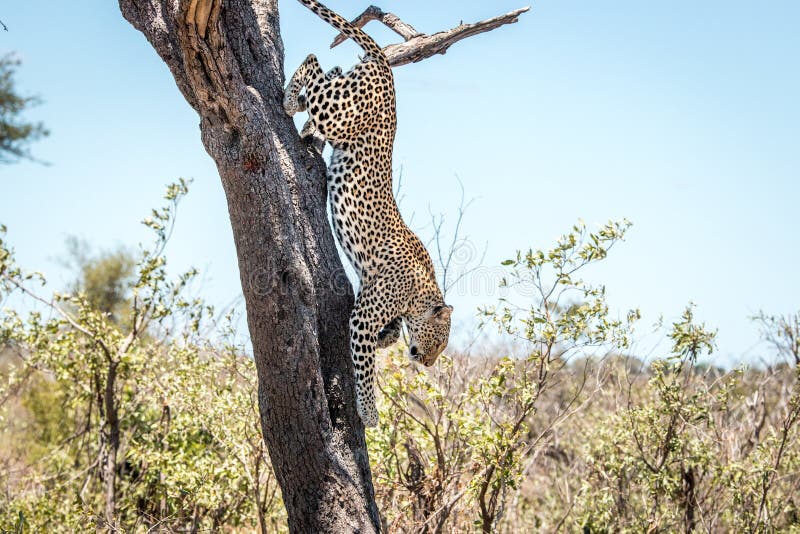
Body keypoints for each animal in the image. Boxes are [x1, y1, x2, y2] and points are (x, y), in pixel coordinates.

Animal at [284, 0, 453, 427]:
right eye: (440, 343)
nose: (428, 364)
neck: (421, 294)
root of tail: (386, 68)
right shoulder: (362, 317)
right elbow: (365, 368)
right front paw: (369, 412)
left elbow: (387, 336)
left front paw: (389, 336)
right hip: (339, 111)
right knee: (312, 62)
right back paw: (291, 99)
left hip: (341, 107)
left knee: (326, 74)